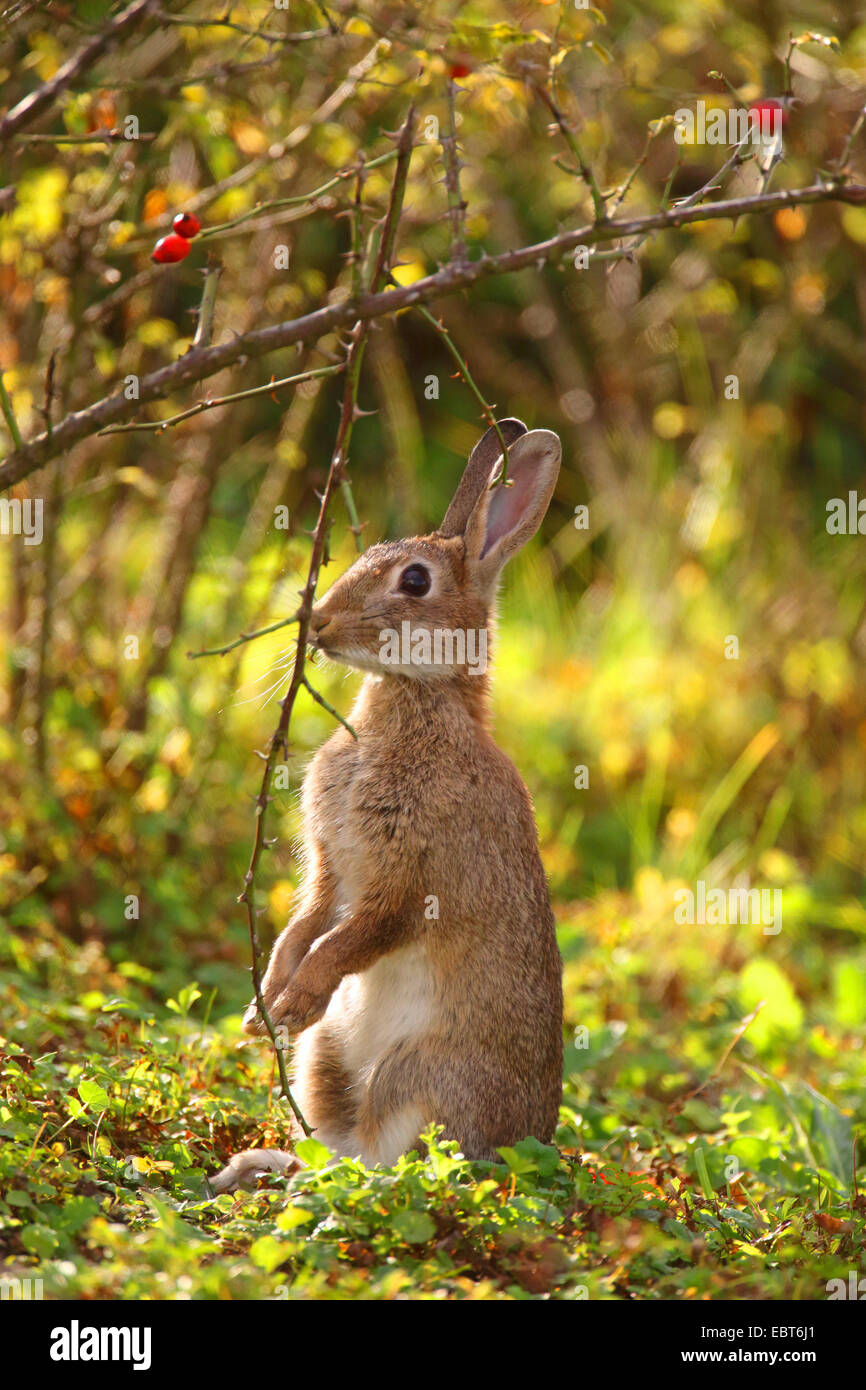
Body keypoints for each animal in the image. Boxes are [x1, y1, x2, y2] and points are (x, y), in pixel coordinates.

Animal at [211, 419, 563, 1194]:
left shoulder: (407, 879)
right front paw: (262, 1010)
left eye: (414, 580)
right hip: (325, 1062)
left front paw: (292, 1002)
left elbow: (349, 939)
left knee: (386, 1165)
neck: (414, 699)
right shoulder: (330, 868)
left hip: (419, 1073)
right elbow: (304, 926)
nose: (318, 623)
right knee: (335, 1146)